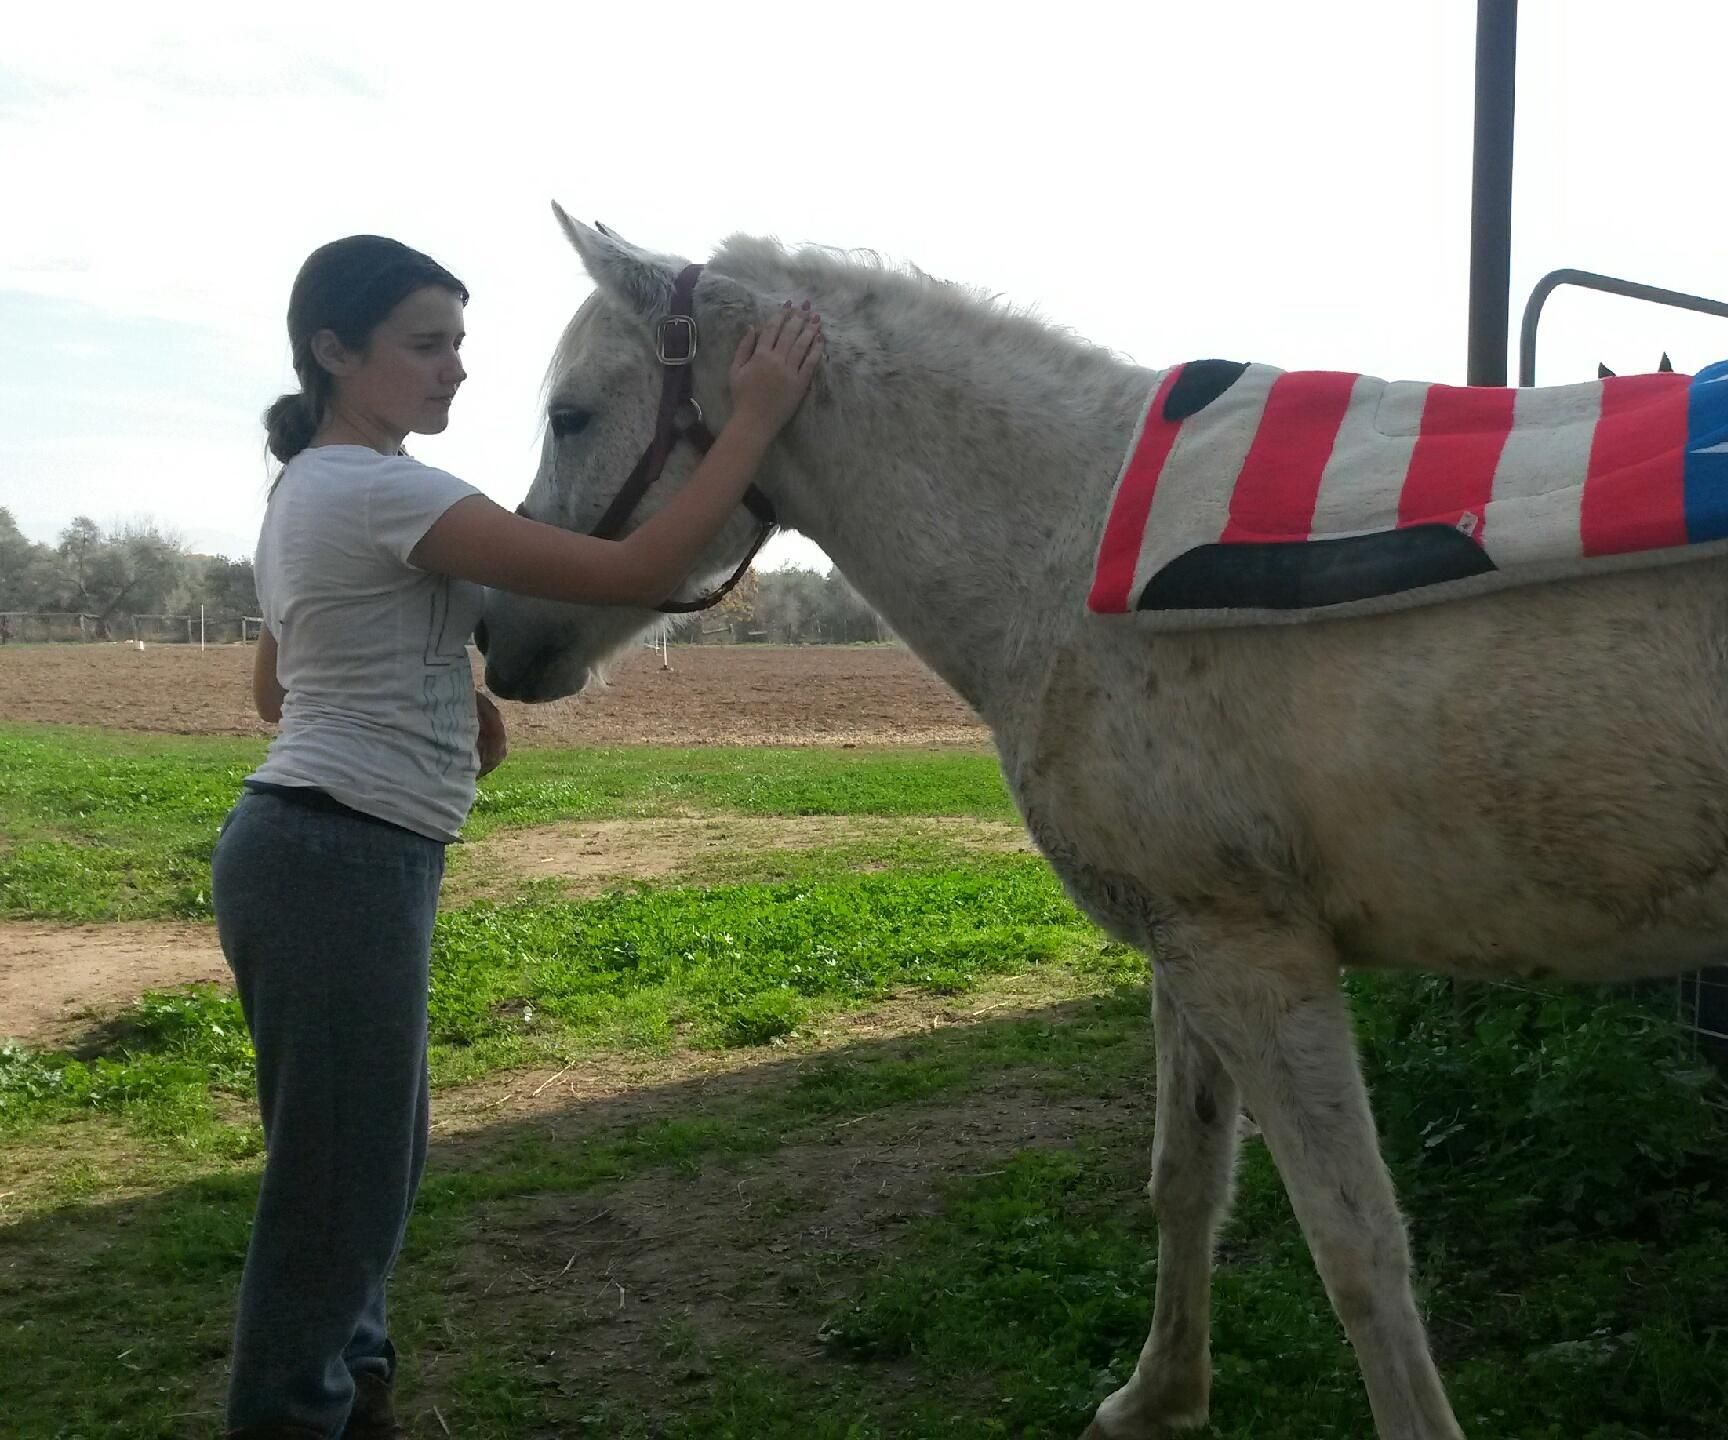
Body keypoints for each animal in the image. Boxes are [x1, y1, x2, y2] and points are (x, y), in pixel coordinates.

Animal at [477, 205, 1728, 1440]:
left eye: (571, 413)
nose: (494, 632)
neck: (1062, 548)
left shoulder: (1254, 956)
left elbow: (1357, 1249)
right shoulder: (1189, 949)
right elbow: (1186, 1180)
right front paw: (1159, 1396)